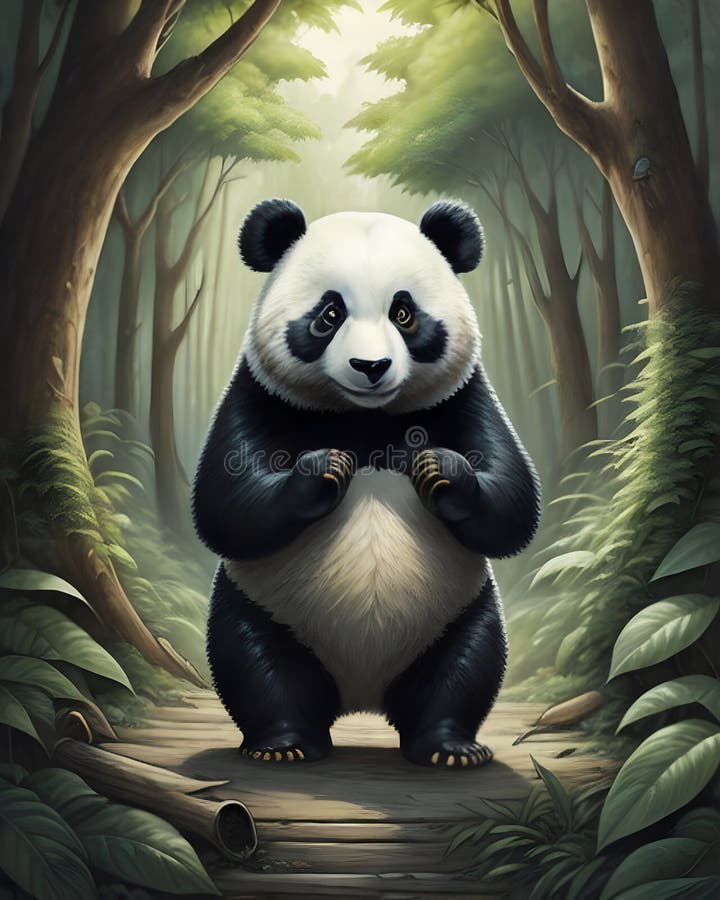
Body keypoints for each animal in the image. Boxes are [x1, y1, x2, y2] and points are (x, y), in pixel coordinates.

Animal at [193, 198, 541, 769]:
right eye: (329, 314)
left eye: (404, 313)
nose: (371, 365)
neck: (365, 419)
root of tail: (362, 696)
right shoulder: (258, 393)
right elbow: (224, 504)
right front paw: (323, 470)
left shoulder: (464, 397)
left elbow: (513, 501)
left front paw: (438, 470)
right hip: (263, 606)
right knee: (255, 663)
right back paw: (283, 744)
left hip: (458, 609)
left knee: (467, 665)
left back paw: (448, 747)